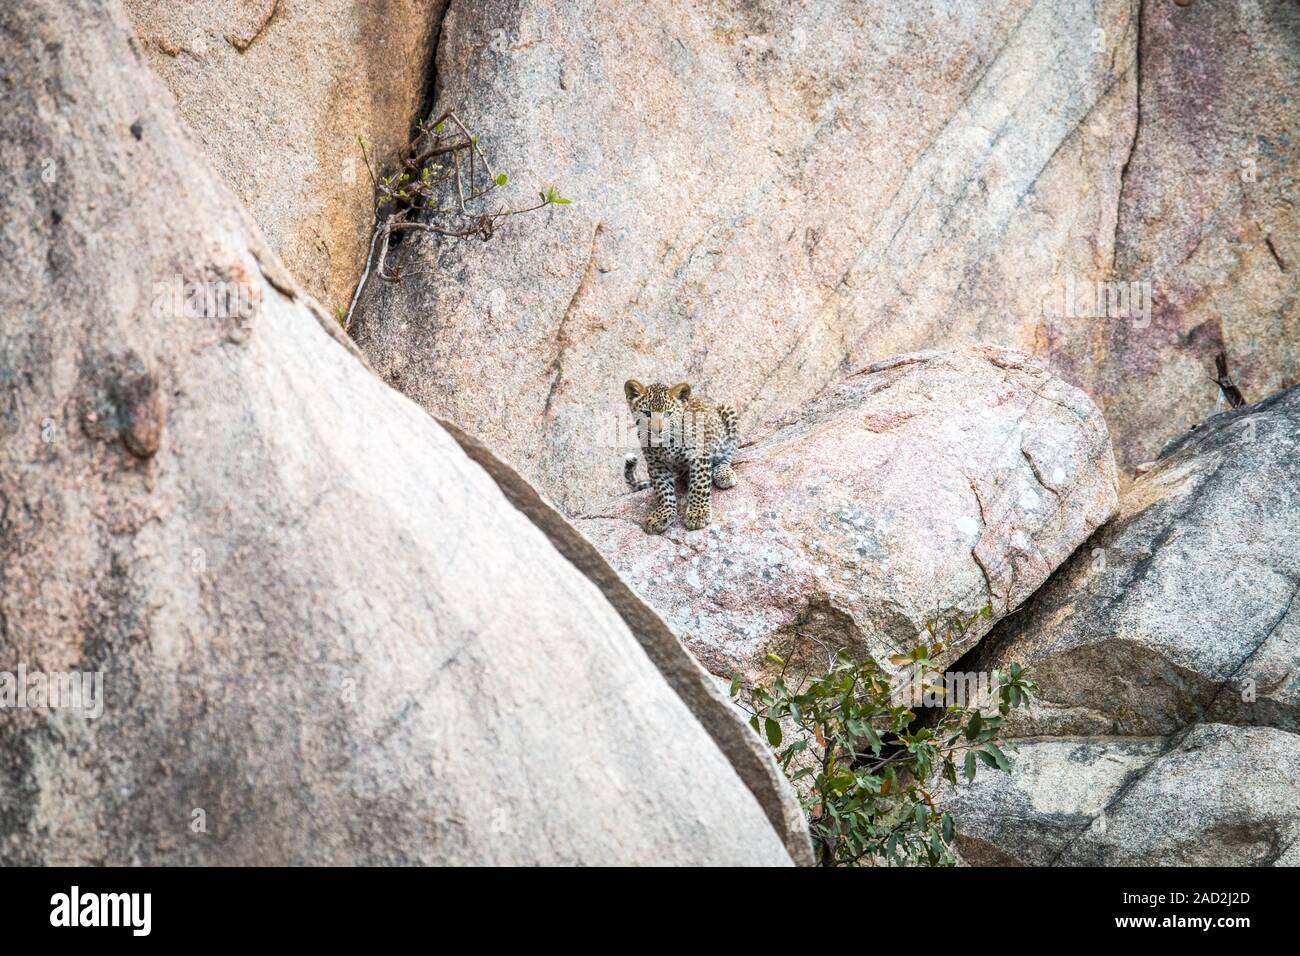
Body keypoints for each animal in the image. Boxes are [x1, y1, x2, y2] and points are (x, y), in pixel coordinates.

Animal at [622, 379, 739, 534]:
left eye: (668, 414)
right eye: (647, 413)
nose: (657, 431)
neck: (665, 445)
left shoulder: (698, 455)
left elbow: (699, 485)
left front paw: (698, 513)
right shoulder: (656, 465)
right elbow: (663, 490)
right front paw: (664, 513)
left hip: (728, 413)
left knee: (726, 456)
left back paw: (723, 473)